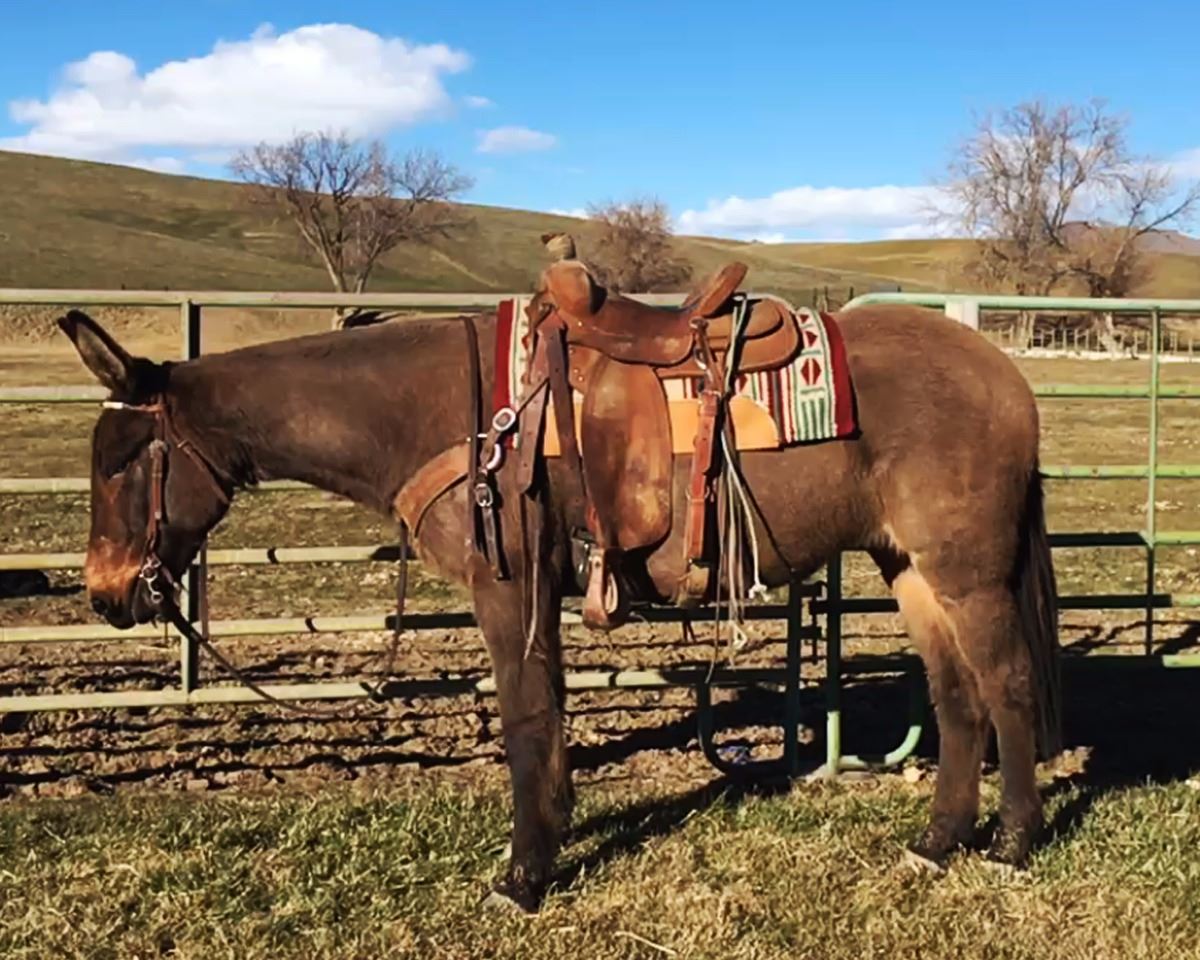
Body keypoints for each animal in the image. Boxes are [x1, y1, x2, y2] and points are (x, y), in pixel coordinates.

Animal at [58, 269, 1060, 912]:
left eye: (122, 461)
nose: (106, 594)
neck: (450, 410)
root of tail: (1004, 375)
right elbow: (547, 709)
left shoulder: (509, 585)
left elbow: (526, 714)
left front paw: (524, 874)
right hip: (911, 569)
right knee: (957, 697)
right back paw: (936, 842)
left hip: (967, 572)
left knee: (1007, 685)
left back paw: (1012, 844)